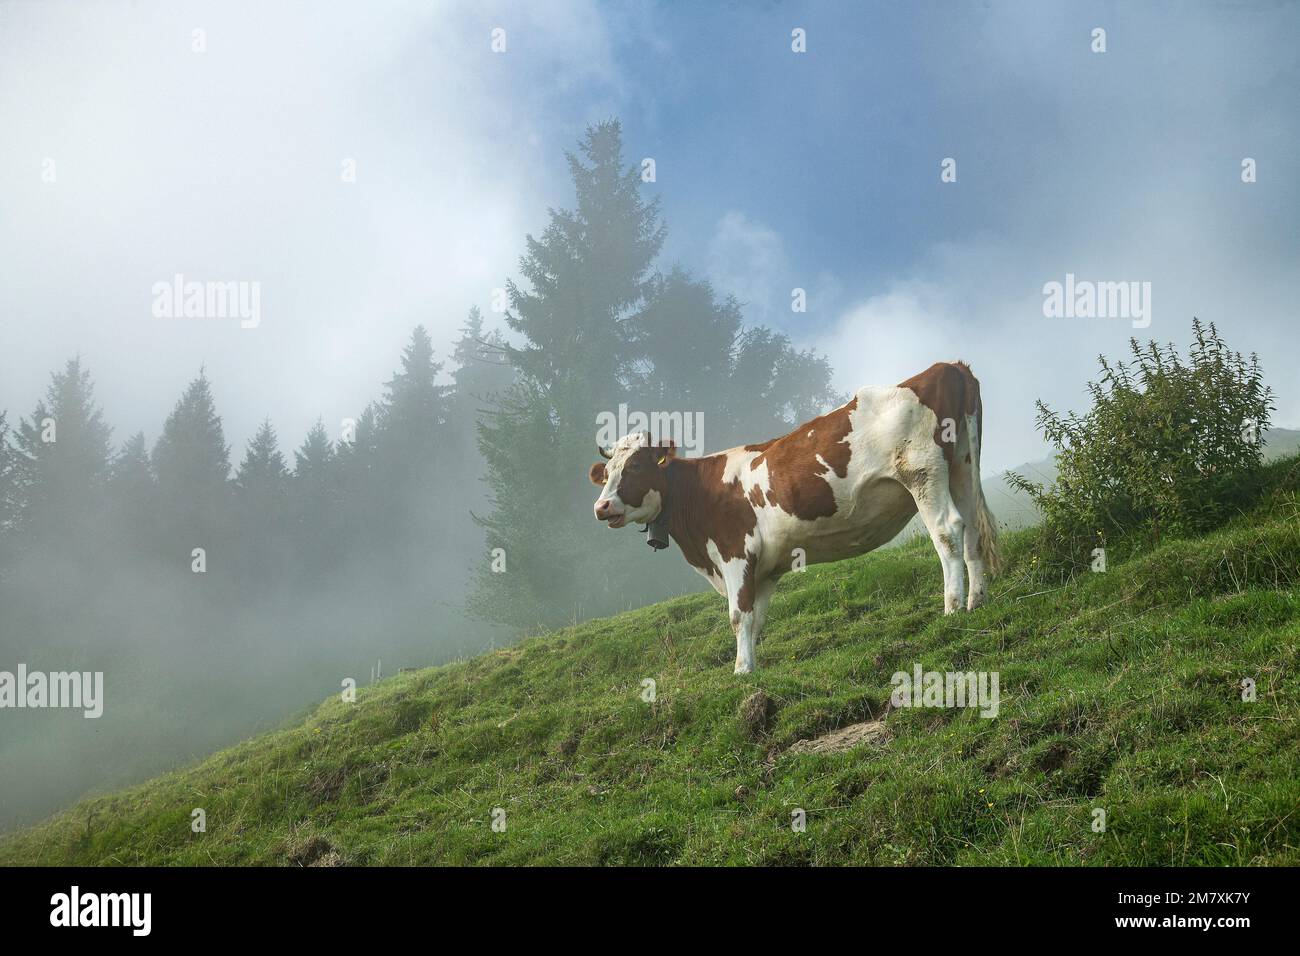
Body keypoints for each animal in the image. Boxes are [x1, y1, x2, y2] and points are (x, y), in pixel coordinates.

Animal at [588, 361, 1000, 674]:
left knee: (947, 531)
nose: (600, 507)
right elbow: (756, 618)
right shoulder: (765, 569)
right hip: (963, 468)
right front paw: (752, 665)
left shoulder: (736, 553)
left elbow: (738, 616)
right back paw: (976, 600)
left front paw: (741, 671)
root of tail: (946, 365)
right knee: (971, 531)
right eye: (606, 473)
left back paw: (952, 608)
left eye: (635, 466)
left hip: (922, 474)